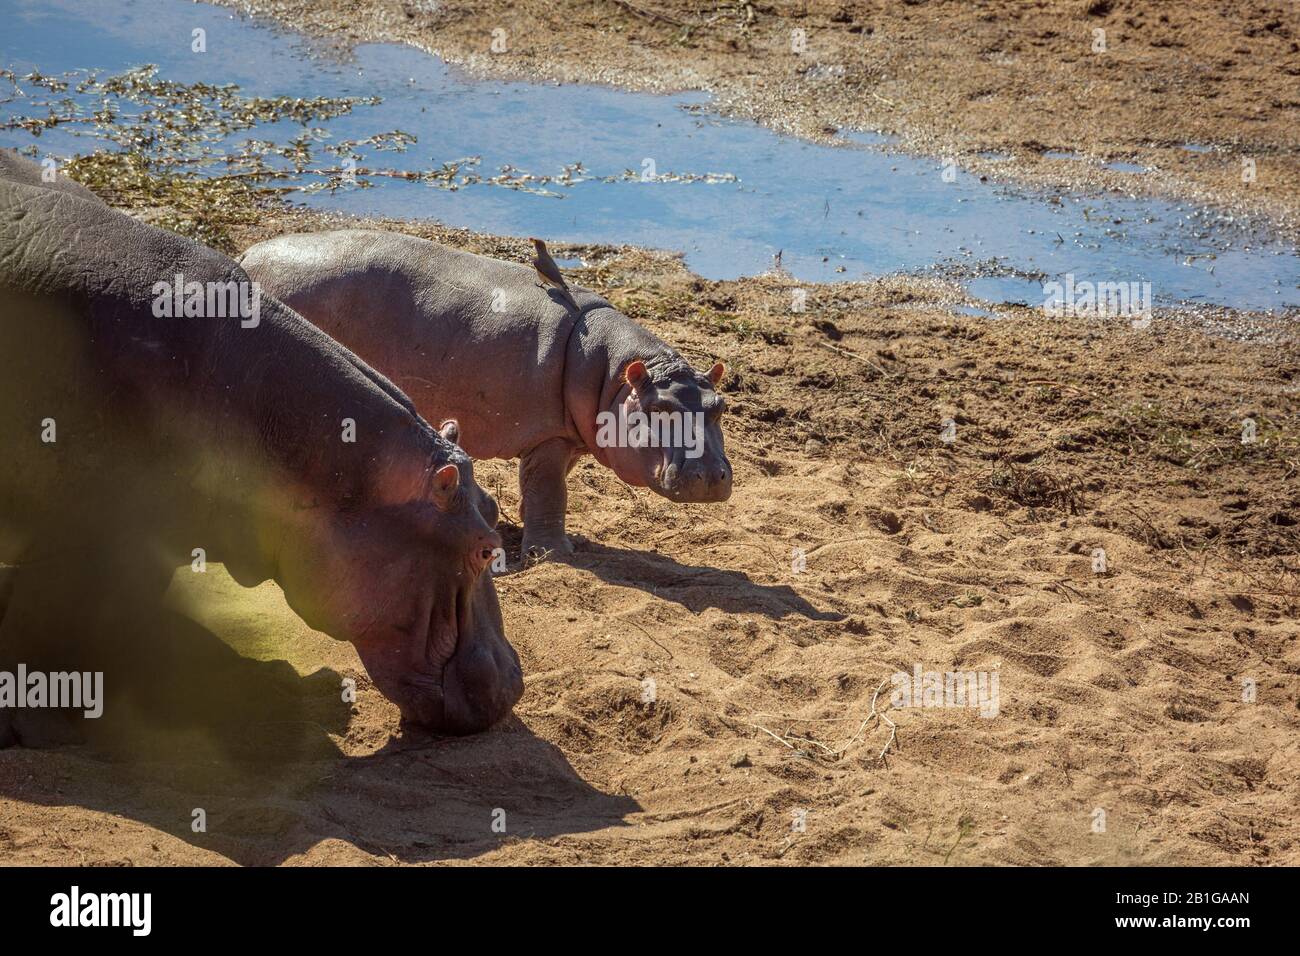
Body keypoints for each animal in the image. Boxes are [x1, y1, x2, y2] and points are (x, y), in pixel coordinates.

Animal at [240, 230, 733, 556]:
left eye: (720, 406)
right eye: (658, 409)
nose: (710, 476)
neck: (613, 377)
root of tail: (246, 255)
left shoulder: (567, 435)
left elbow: (542, 489)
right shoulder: (547, 438)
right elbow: (550, 491)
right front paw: (554, 554)